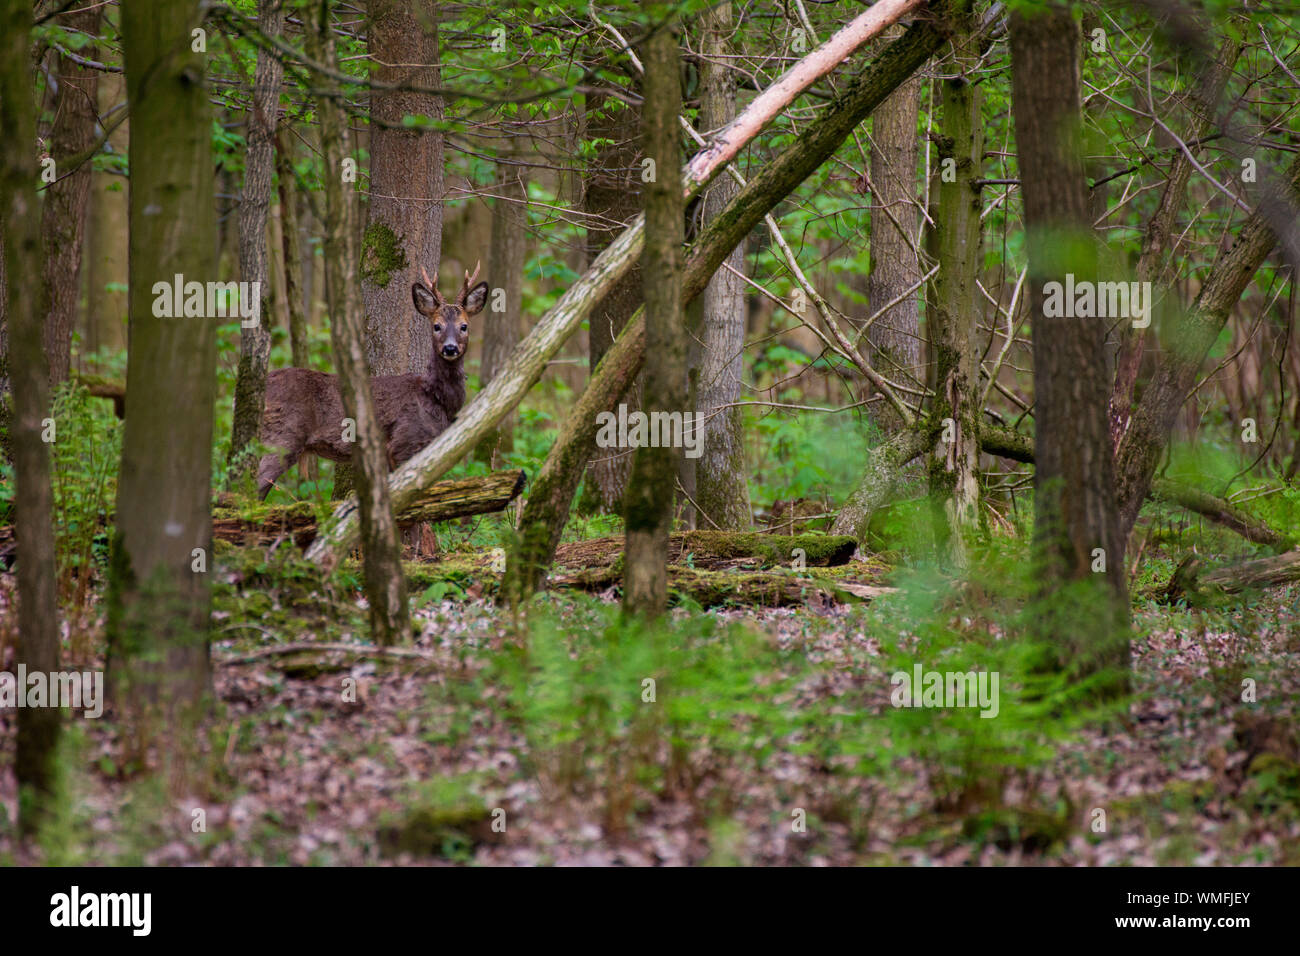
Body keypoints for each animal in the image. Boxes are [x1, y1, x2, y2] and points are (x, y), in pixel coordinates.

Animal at [256, 262, 488, 500]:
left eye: (464, 326)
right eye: (437, 326)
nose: (450, 348)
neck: (433, 398)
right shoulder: (403, 442)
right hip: (282, 437)